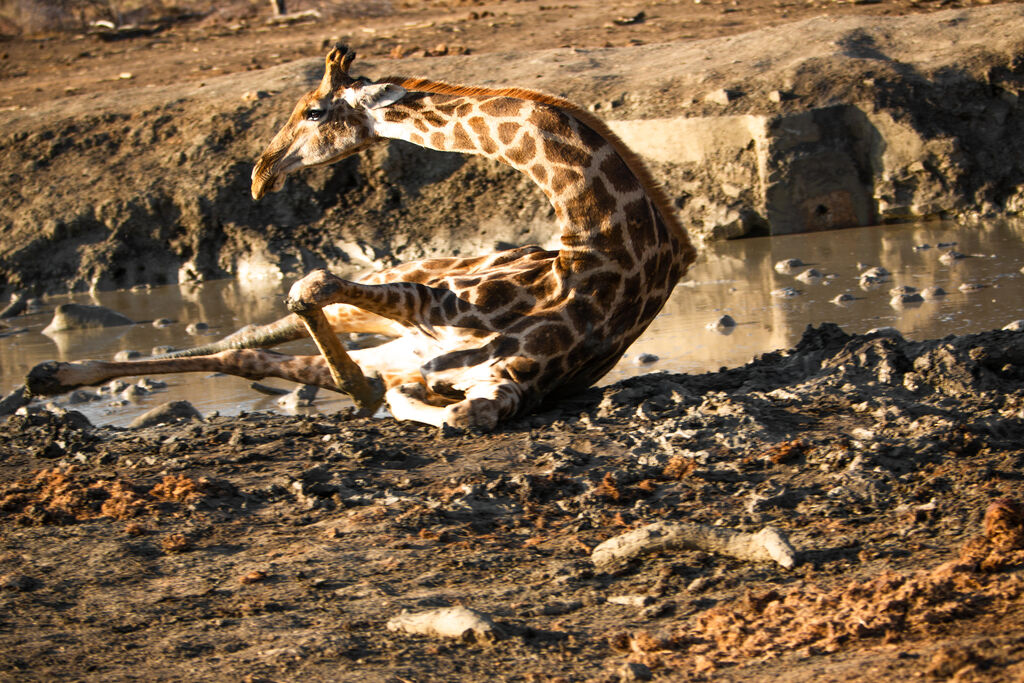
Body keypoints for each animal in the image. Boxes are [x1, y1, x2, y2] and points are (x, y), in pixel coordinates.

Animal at [26, 45, 697, 431]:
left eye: (314, 111)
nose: (259, 175)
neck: (603, 244)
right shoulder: (427, 298)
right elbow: (310, 289)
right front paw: (383, 390)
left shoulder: (502, 382)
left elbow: (451, 411)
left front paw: (386, 391)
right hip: (399, 281)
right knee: (255, 331)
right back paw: (50, 374)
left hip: (396, 318)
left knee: (248, 351)